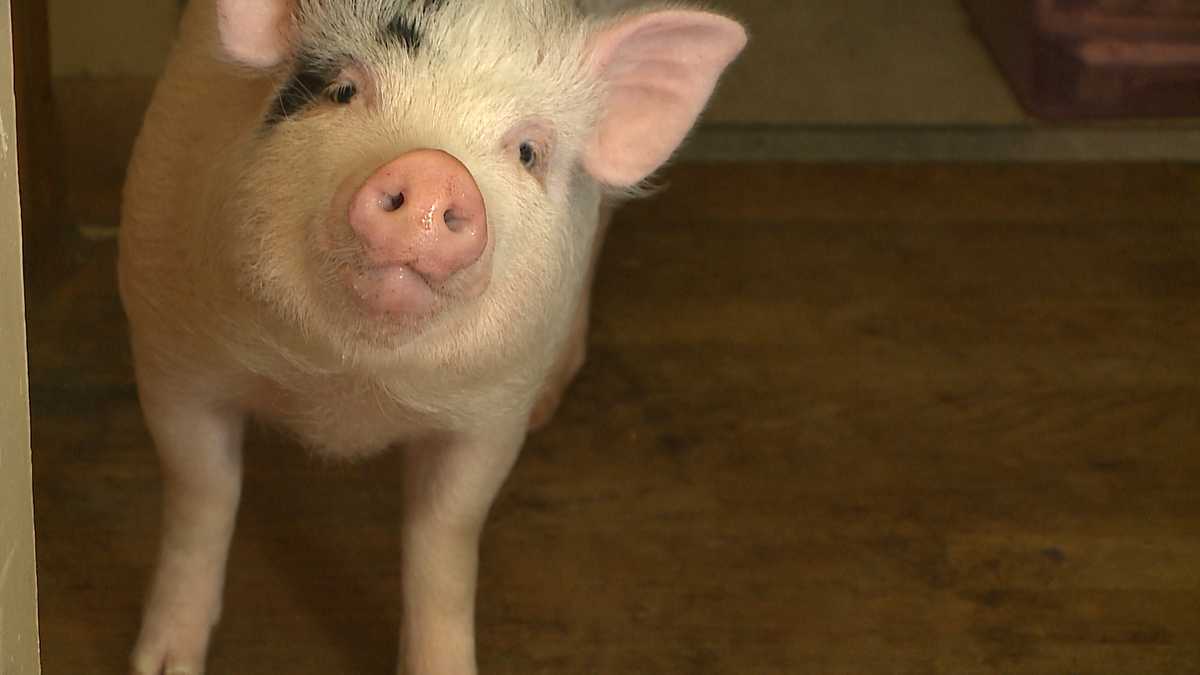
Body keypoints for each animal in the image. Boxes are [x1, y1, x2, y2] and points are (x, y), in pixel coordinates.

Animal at [117, 1, 745, 673]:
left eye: (528, 151)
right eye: (342, 90)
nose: (434, 172)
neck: (350, 389)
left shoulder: (493, 413)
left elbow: (445, 539)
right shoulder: (168, 349)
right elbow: (202, 492)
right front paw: (160, 666)